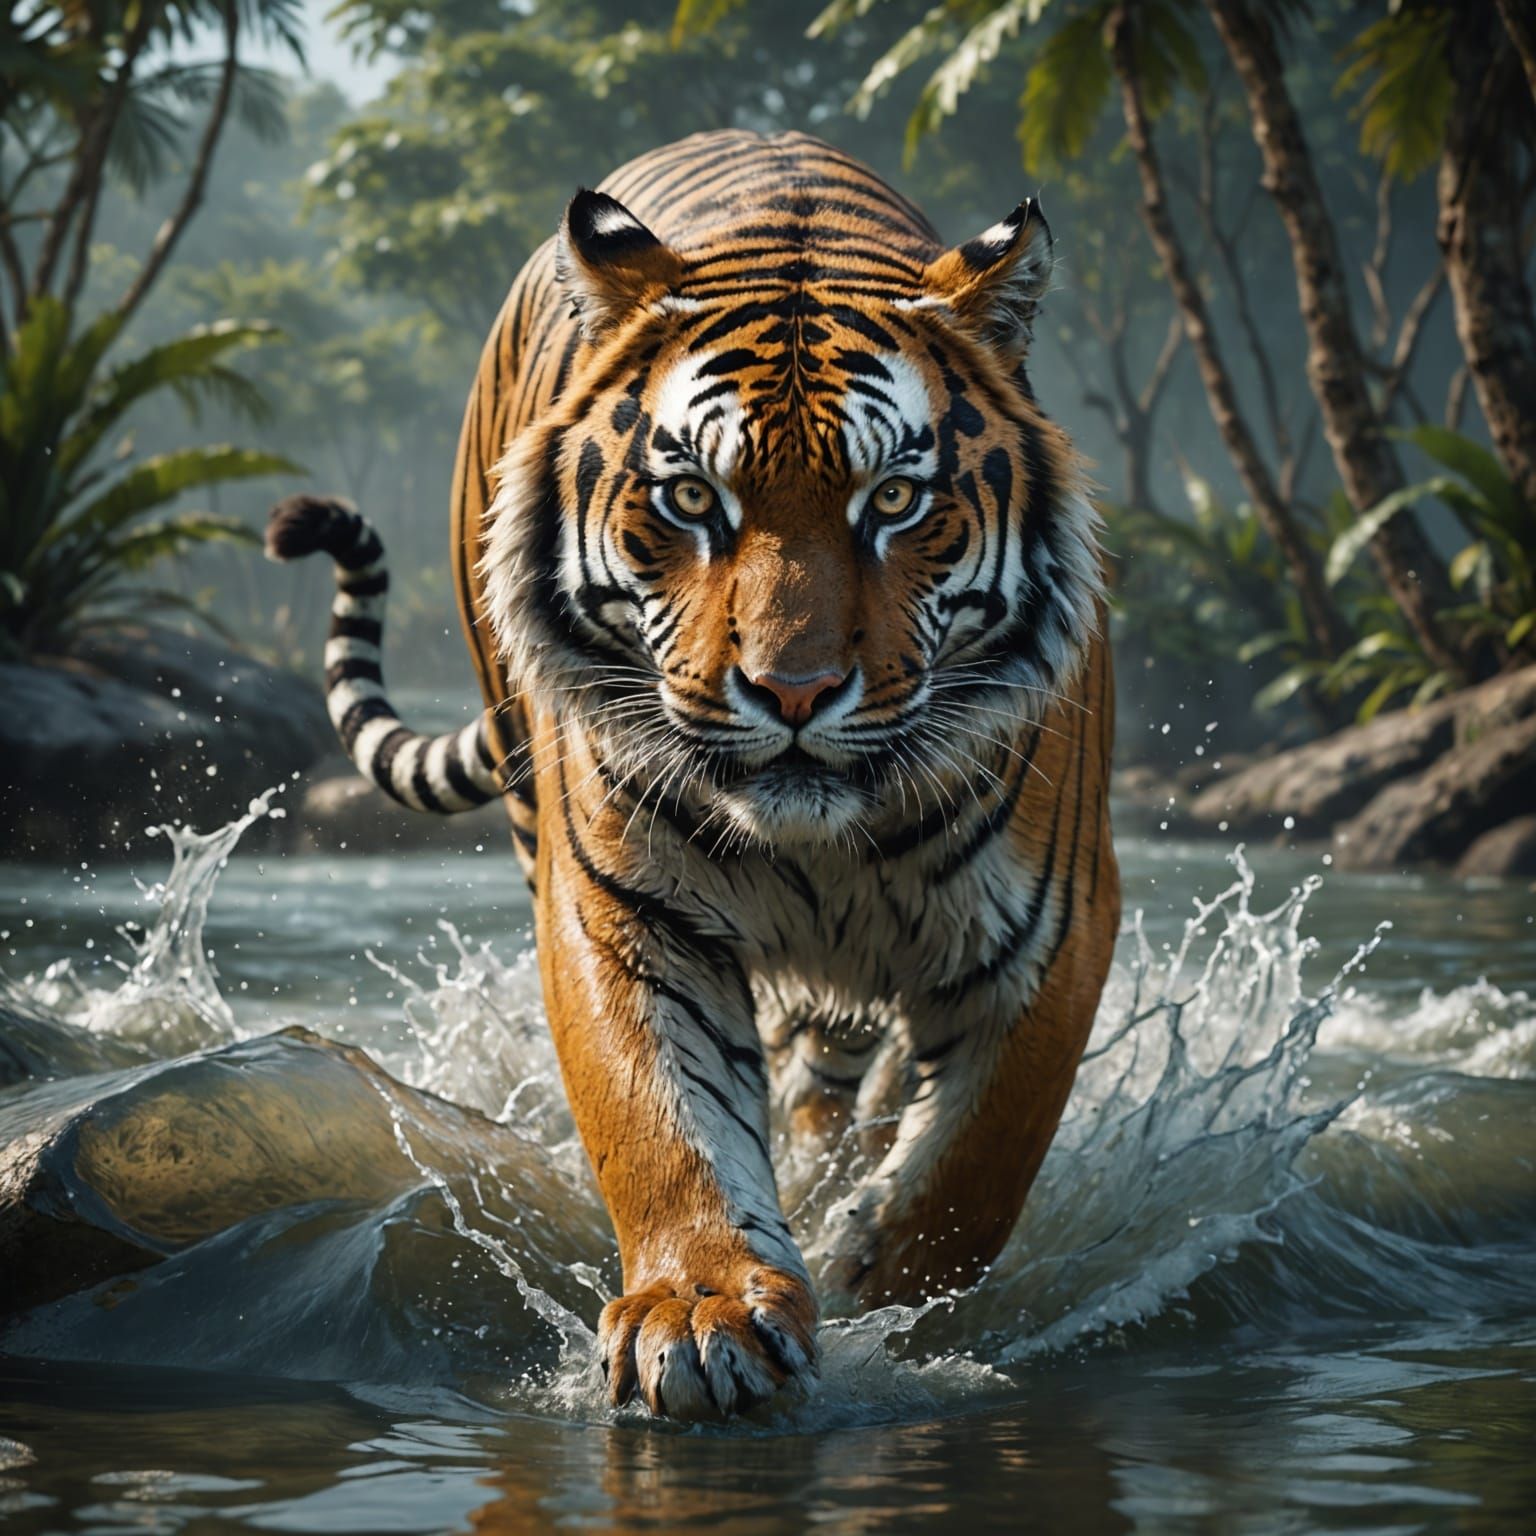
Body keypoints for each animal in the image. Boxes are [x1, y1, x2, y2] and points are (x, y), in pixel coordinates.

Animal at [266, 129, 1119, 1422]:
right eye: (689, 499)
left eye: (894, 499)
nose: (795, 691)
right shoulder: (625, 906)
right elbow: (660, 1119)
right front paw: (702, 1311)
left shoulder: (1052, 934)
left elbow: (974, 1176)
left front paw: (873, 1288)